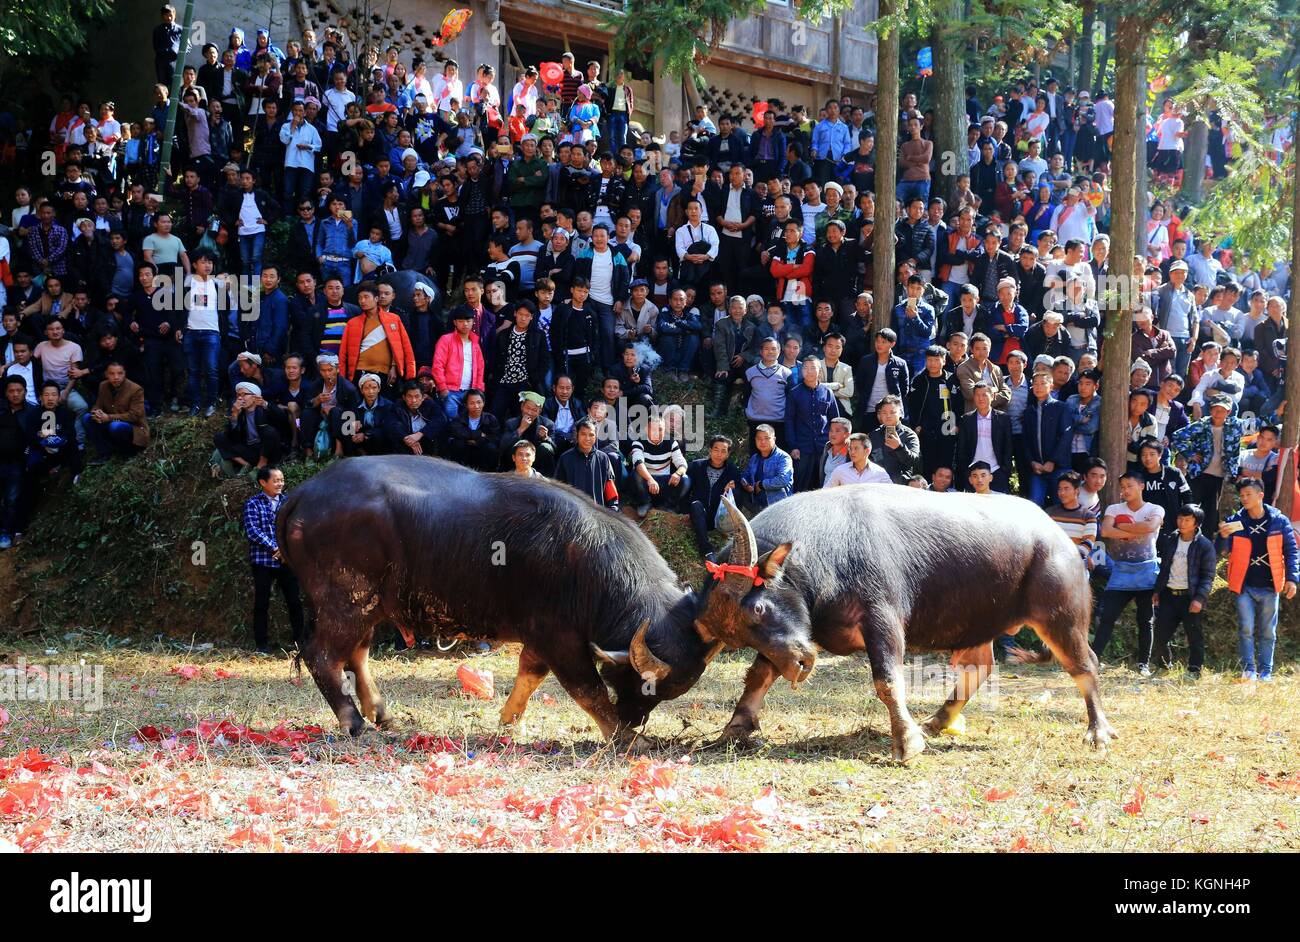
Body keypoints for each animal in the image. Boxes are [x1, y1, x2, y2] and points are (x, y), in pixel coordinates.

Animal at [275, 456, 816, 744]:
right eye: (644, 686)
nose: (634, 720)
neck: (583, 561)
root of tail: (303, 493)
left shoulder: (540, 636)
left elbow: (528, 675)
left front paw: (508, 721)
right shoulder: (560, 638)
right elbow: (584, 688)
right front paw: (620, 734)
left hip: (371, 605)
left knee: (356, 654)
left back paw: (382, 715)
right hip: (346, 599)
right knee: (322, 653)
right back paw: (353, 722)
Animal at [695, 487, 1116, 762]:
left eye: (758, 608)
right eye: (736, 634)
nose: (800, 667)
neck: (823, 555)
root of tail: (1061, 538)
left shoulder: (883, 618)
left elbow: (887, 680)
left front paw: (907, 741)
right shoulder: (793, 638)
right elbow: (758, 675)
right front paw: (735, 728)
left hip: (1061, 617)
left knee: (1086, 665)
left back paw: (1098, 733)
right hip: (978, 624)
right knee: (978, 666)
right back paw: (937, 721)